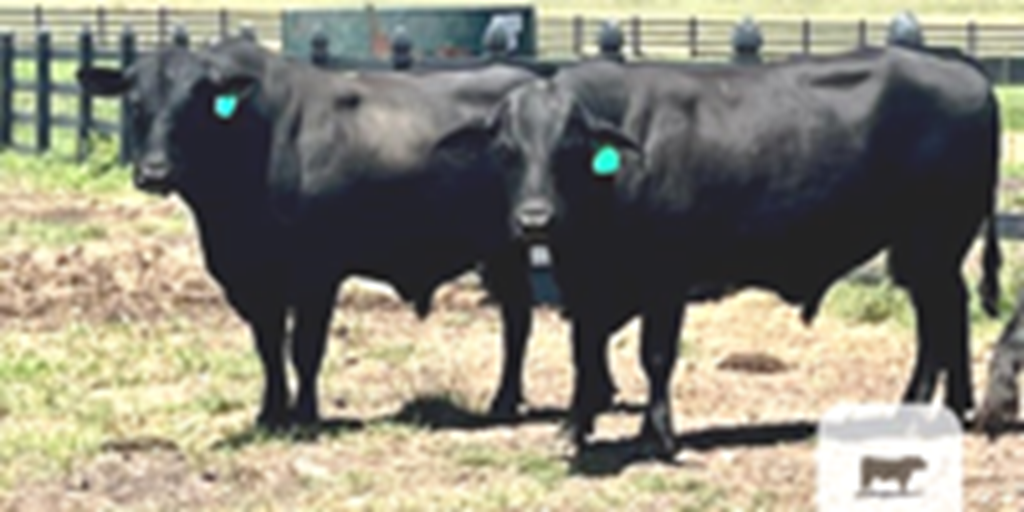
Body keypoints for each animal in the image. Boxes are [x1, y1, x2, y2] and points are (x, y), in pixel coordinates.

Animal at [74, 37, 558, 430]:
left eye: (194, 105)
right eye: (135, 104)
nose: (155, 172)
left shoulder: (317, 272)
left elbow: (305, 347)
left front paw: (305, 413)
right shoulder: (251, 278)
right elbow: (268, 346)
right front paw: (271, 412)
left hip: (509, 247)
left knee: (518, 318)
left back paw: (503, 402)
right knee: (517, 315)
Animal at [431, 45, 1002, 458]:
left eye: (569, 148)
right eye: (506, 150)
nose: (535, 220)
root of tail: (959, 67)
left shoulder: (665, 278)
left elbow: (655, 356)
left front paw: (657, 433)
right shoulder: (585, 280)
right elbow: (584, 351)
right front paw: (575, 426)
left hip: (931, 244)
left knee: (942, 317)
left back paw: (925, 408)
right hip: (923, 251)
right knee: (946, 315)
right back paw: (948, 406)